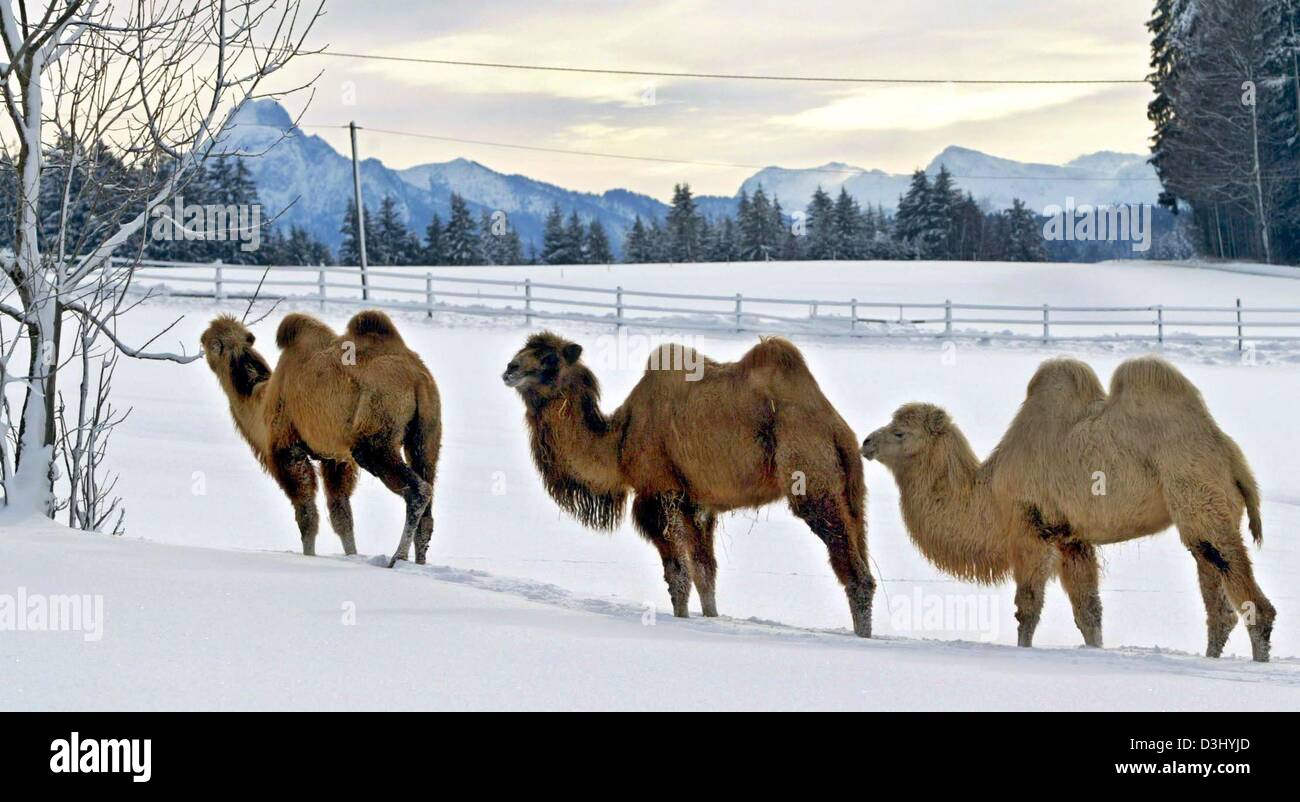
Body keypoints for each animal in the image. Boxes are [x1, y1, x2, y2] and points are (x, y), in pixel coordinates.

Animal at [200, 311, 441, 568]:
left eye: (208, 342)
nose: (201, 340)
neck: (261, 398)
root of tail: (417, 377)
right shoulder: (335, 457)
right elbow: (342, 515)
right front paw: (351, 556)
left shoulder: (288, 448)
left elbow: (307, 515)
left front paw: (310, 556)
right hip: (427, 434)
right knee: (427, 493)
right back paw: (419, 563)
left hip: (374, 434)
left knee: (418, 489)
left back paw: (397, 557)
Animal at [503, 332, 874, 636]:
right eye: (523, 350)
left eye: (549, 358)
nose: (510, 369)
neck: (620, 441)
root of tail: (838, 429)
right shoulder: (697, 503)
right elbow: (705, 572)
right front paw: (711, 618)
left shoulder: (658, 493)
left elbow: (678, 575)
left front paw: (680, 620)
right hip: (851, 490)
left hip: (810, 476)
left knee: (854, 572)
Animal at [861, 356, 1275, 661]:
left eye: (900, 432)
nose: (866, 442)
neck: (989, 492)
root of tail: (1230, 455)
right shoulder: (1071, 539)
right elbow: (1088, 612)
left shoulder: (1031, 527)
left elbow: (1027, 606)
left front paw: (1023, 651)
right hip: (1199, 510)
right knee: (1217, 597)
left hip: (1197, 493)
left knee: (1247, 595)